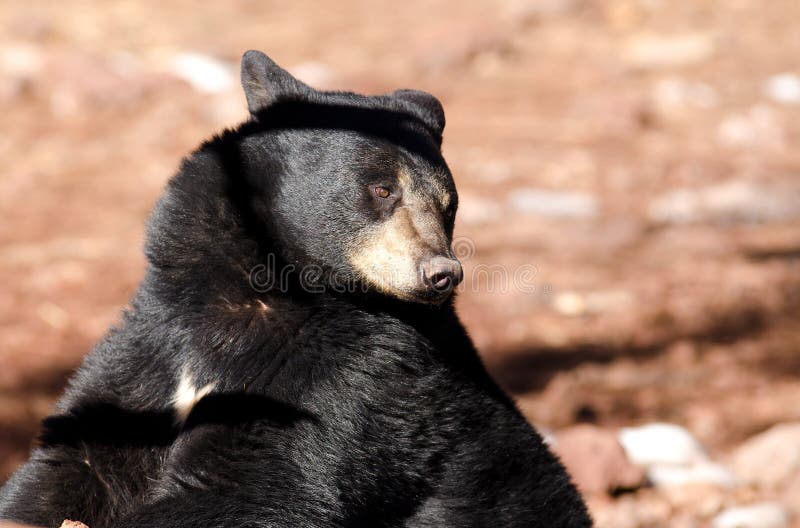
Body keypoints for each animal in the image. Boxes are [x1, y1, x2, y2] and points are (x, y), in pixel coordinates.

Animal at [0, 50, 591, 527]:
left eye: (448, 204)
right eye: (382, 188)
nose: (441, 273)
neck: (253, 296)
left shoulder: (355, 372)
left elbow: (261, 479)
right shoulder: (157, 342)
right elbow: (79, 457)